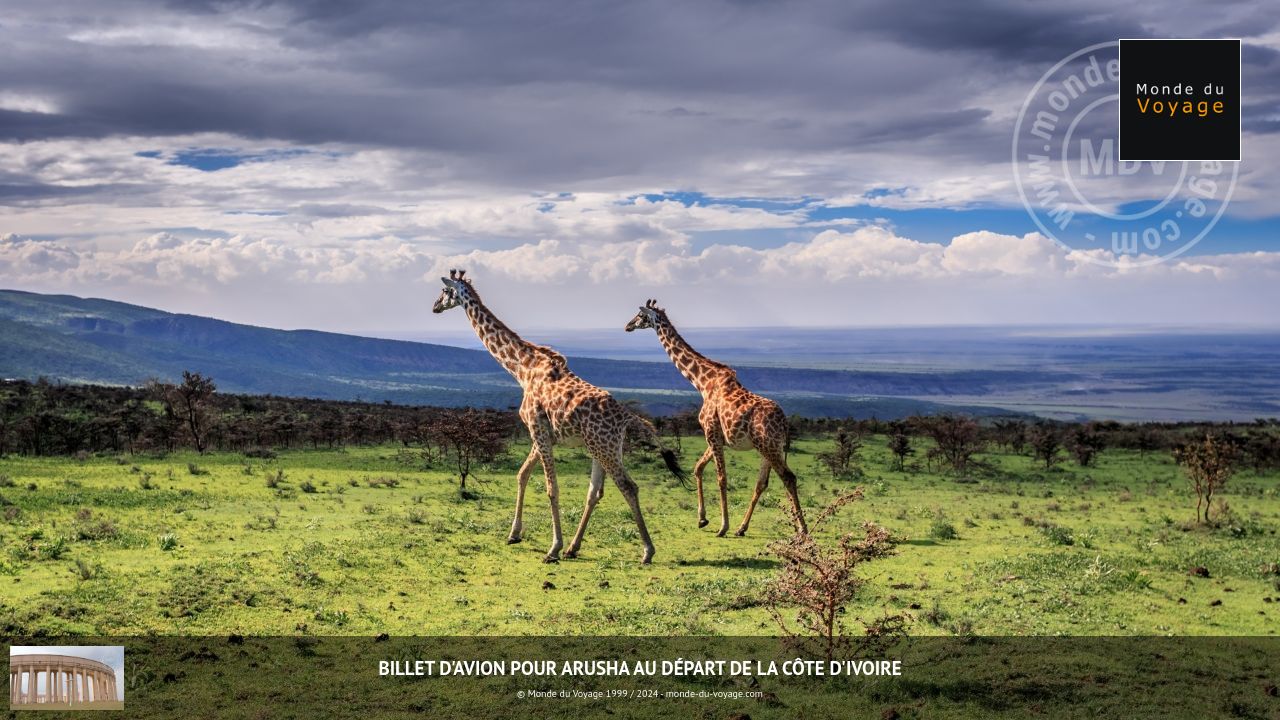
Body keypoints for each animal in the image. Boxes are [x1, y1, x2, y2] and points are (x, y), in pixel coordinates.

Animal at [432, 269, 691, 561]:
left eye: (444, 291)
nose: (435, 307)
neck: (522, 369)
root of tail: (626, 416)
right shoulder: (543, 434)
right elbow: (522, 475)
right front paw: (514, 534)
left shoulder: (537, 429)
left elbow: (551, 488)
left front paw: (552, 548)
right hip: (603, 447)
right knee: (595, 492)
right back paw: (573, 547)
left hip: (604, 448)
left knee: (628, 486)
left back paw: (646, 551)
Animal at [622, 295, 803, 532]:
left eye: (640, 315)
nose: (627, 325)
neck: (702, 383)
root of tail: (785, 423)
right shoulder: (715, 436)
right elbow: (698, 468)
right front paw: (702, 518)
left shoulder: (711, 432)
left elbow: (721, 477)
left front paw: (722, 526)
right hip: (770, 447)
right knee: (762, 483)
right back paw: (742, 528)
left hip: (768, 446)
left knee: (788, 477)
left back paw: (803, 530)